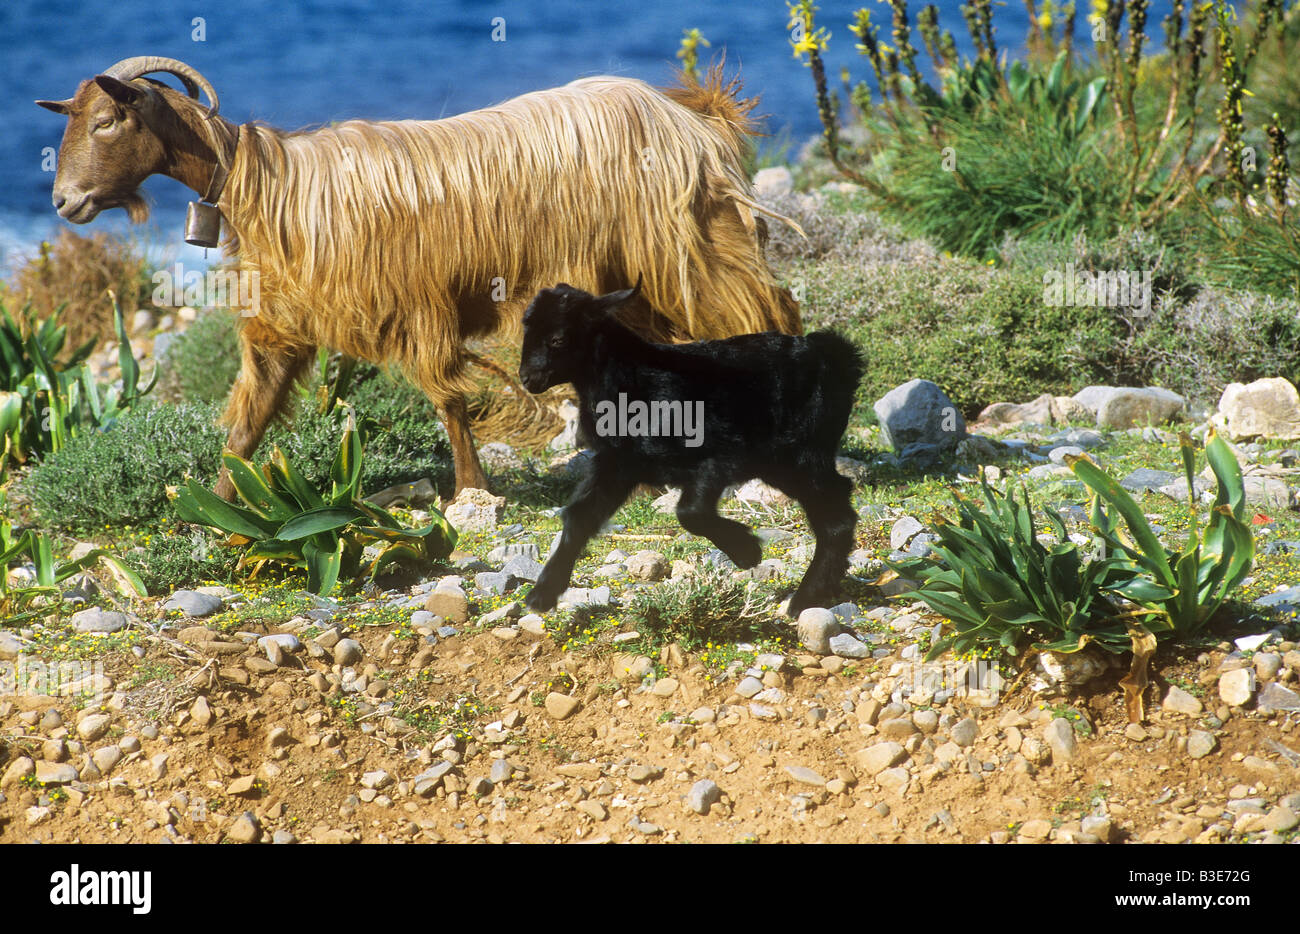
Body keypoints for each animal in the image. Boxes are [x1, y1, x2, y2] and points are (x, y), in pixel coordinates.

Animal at [36, 57, 802, 499]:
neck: (272, 187)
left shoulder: (416, 307)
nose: (64, 202)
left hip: (694, 250)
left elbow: (449, 400)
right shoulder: (284, 322)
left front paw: (471, 492)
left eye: (106, 121)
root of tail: (693, 115)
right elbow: (250, 417)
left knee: (769, 313)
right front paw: (220, 506)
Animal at [518, 280, 862, 616]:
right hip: (786, 464)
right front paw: (541, 595)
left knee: (835, 516)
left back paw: (806, 598)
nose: (527, 378)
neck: (632, 383)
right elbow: (580, 516)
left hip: (799, 453)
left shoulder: (722, 454)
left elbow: (689, 511)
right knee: (838, 505)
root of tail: (836, 355)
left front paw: (747, 550)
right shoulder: (618, 464)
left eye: (557, 339)